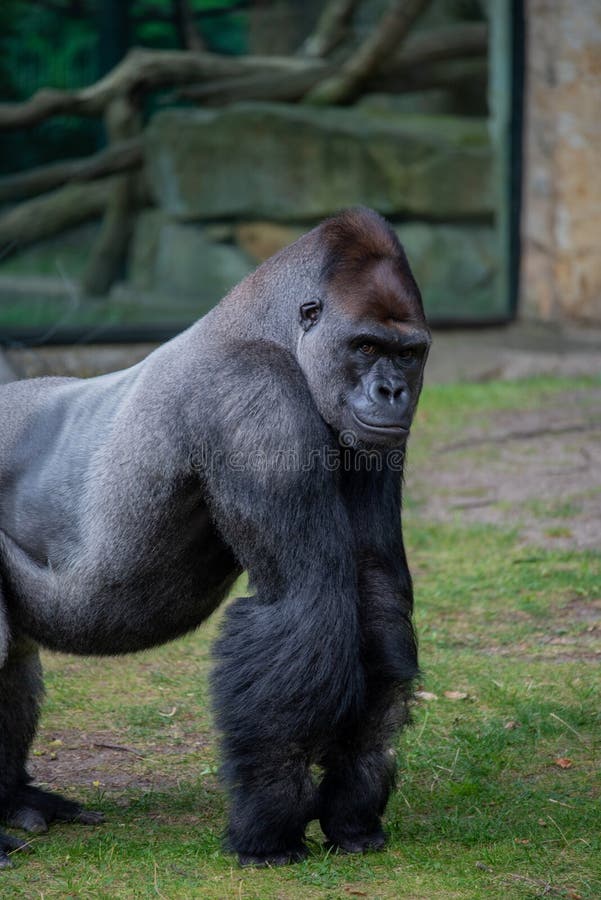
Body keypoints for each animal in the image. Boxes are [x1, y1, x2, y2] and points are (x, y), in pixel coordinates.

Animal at [0, 207, 430, 868]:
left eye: (408, 354)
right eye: (366, 346)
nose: (392, 393)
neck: (270, 326)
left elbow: (375, 588)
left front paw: (354, 805)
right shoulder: (255, 397)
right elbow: (304, 602)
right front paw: (270, 826)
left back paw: (15, 798)